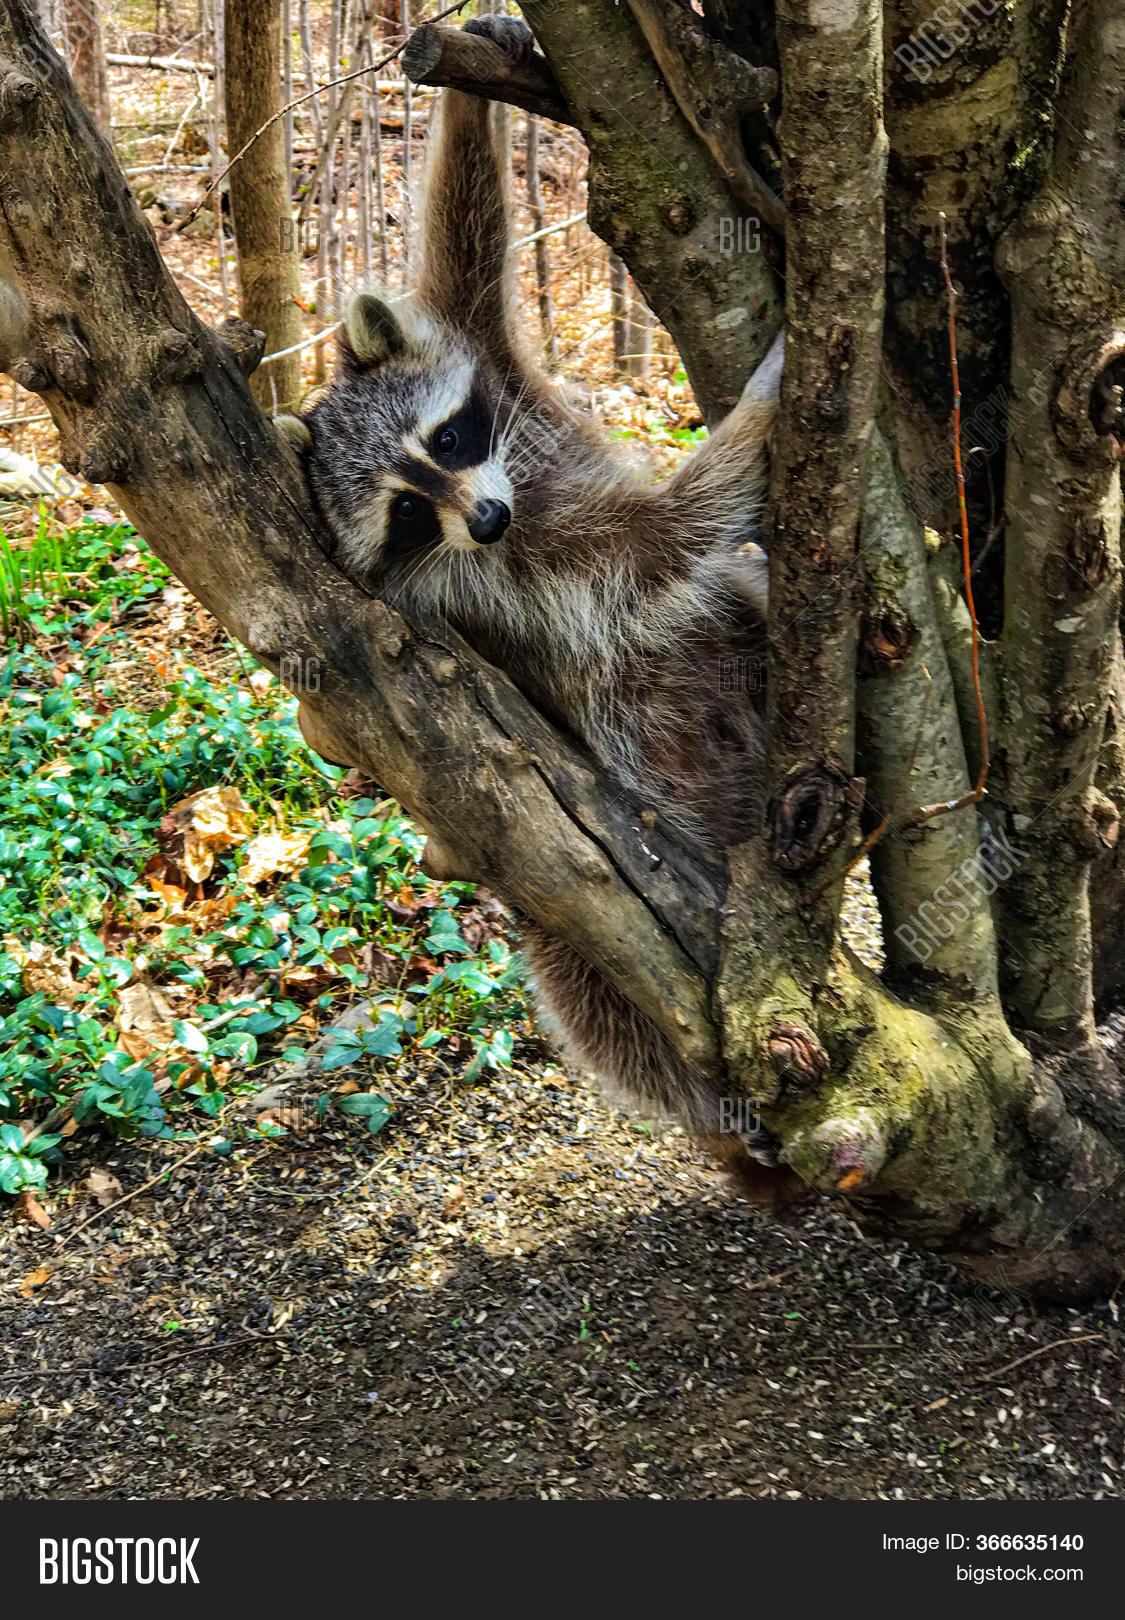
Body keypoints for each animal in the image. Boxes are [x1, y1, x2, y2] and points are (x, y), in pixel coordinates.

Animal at [281, 15, 796, 1204]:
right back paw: (711, 1121)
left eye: (448, 437)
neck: (520, 474)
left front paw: (473, 64)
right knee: (595, 989)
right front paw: (759, 410)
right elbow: (670, 537)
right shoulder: (523, 577)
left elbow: (465, 235)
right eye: (406, 518)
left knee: (736, 606)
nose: (483, 519)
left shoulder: (498, 372)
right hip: (607, 888)